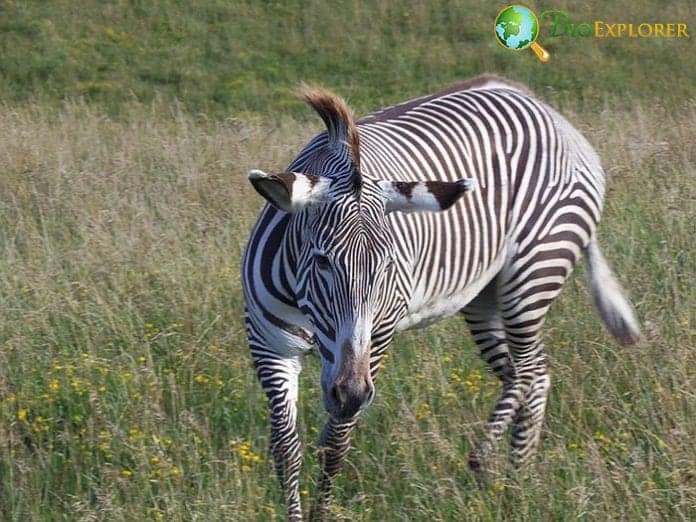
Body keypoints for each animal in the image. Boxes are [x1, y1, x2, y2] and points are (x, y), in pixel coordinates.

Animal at [242, 74, 640, 520]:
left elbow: (334, 445)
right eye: (322, 260)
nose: (351, 395)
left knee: (529, 370)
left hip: (534, 272)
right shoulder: (270, 345)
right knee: (529, 373)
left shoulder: (377, 338)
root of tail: (544, 107)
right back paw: (513, 479)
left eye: (388, 266)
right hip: (484, 297)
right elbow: (286, 450)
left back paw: (496, 467)